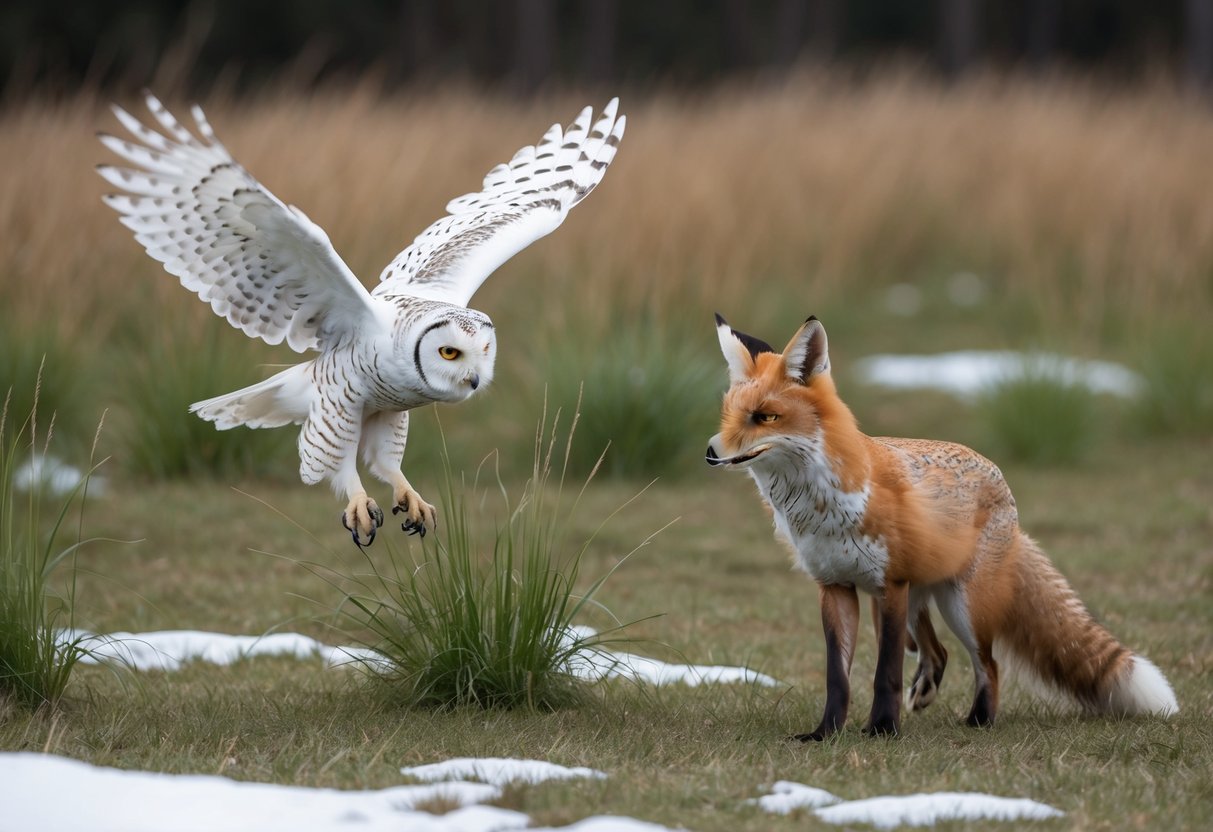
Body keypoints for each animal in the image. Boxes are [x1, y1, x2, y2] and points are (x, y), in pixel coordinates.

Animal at [705, 314, 1178, 739]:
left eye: (765, 417)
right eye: (728, 416)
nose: (710, 452)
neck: (821, 508)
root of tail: (1003, 488)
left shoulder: (891, 586)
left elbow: (885, 673)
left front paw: (882, 730)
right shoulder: (835, 587)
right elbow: (837, 677)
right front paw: (826, 733)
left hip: (961, 606)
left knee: (988, 664)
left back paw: (980, 721)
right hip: (914, 605)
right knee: (938, 653)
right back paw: (930, 692)